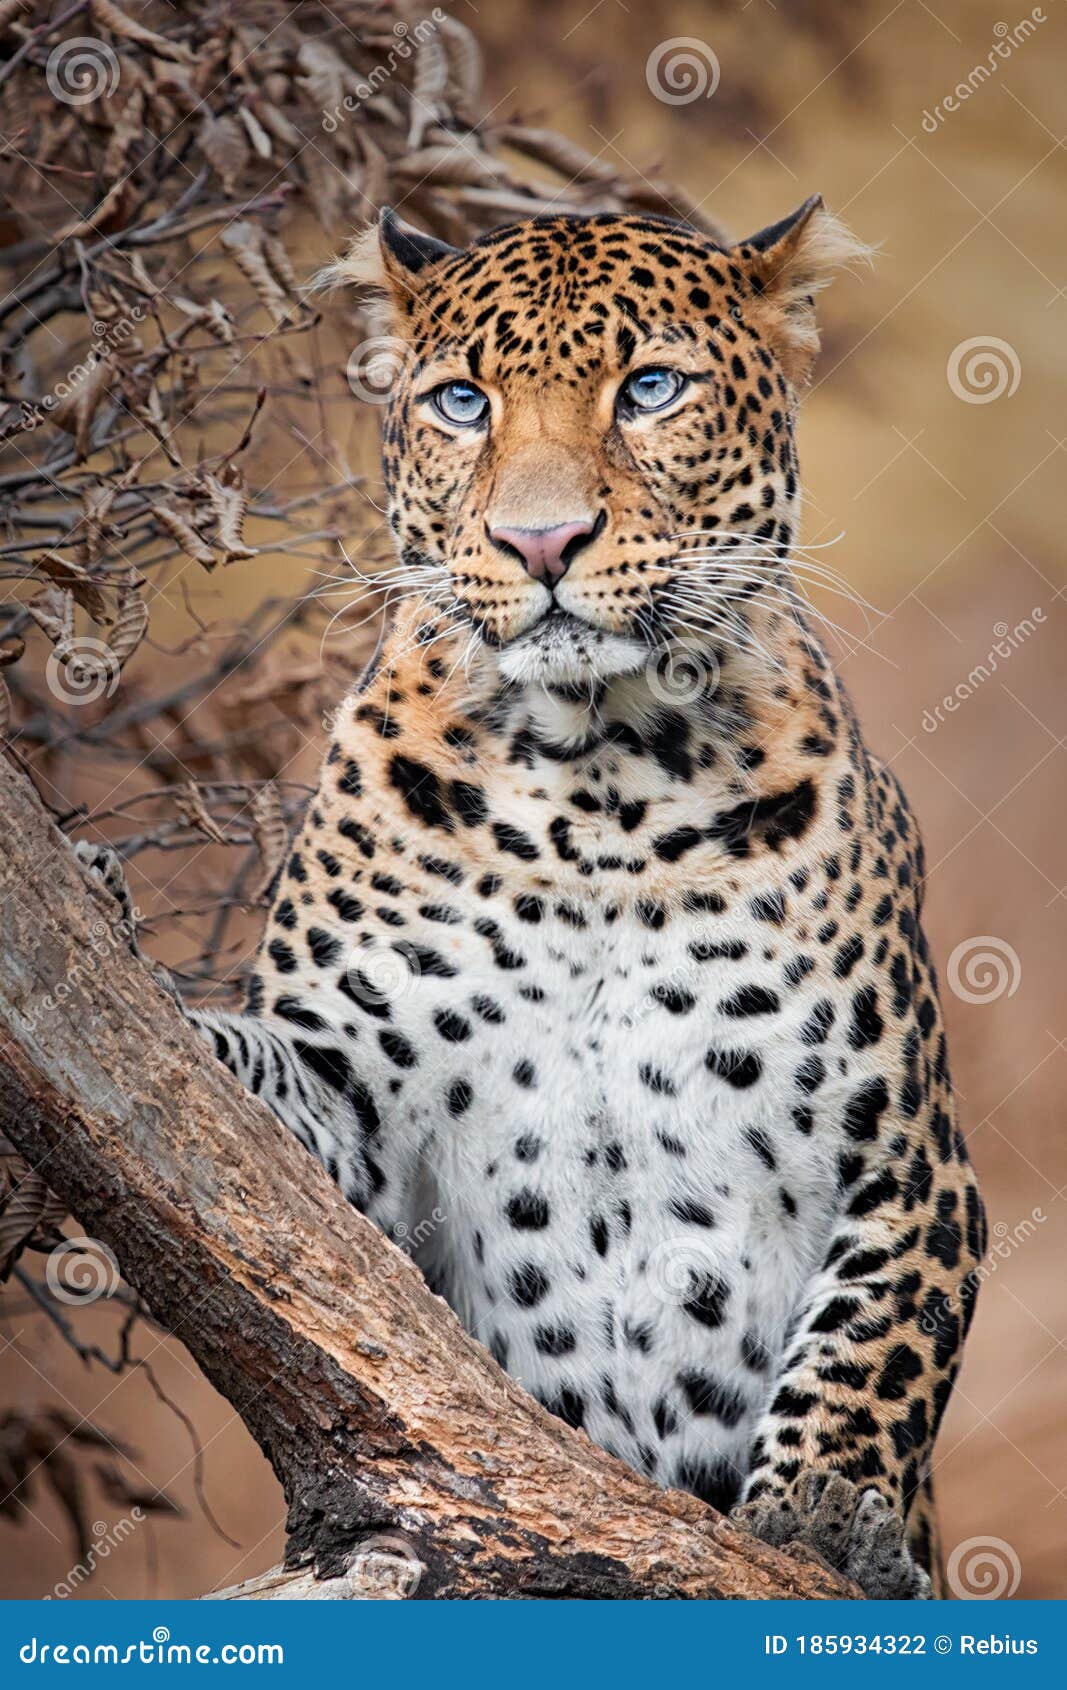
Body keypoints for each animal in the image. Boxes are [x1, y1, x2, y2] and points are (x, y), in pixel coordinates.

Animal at [77, 198, 986, 1599]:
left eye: (649, 388)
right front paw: (106, 925)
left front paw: (831, 1513)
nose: (540, 541)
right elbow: (234, 1102)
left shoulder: (905, 1161)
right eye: (462, 402)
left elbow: (873, 1346)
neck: (598, 784)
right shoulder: (347, 1115)